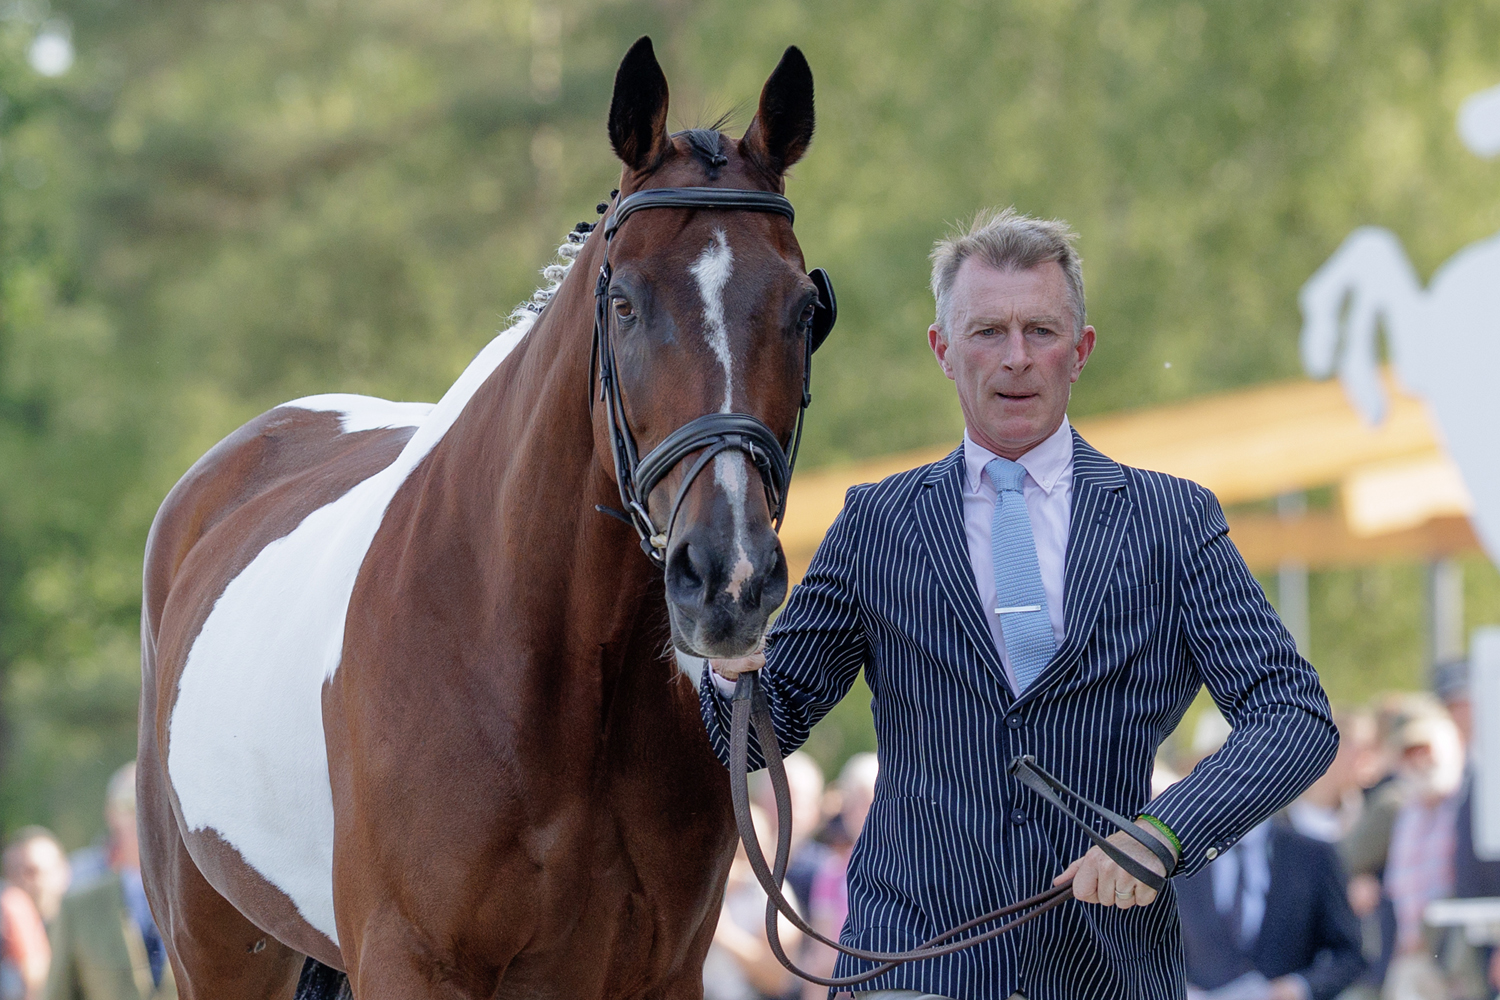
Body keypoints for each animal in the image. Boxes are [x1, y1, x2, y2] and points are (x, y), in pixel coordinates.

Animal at [137, 37, 829, 1000]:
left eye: (804, 309)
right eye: (624, 303)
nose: (728, 578)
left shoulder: (658, 972)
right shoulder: (408, 962)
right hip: (220, 945)